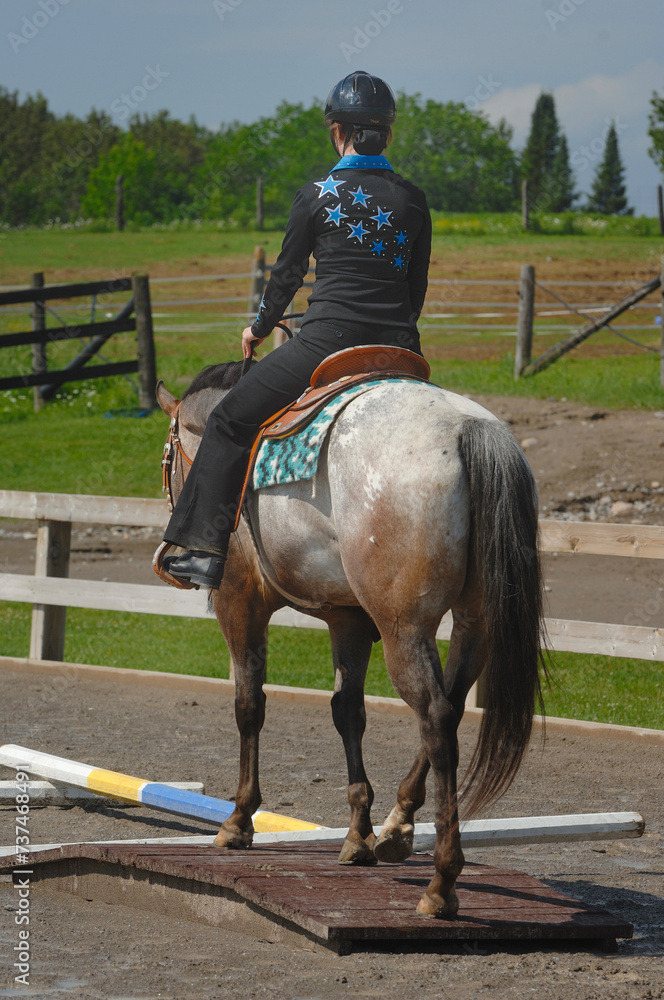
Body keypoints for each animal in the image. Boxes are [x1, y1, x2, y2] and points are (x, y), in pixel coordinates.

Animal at [156, 360, 545, 919]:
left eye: (167, 460)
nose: (172, 552)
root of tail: (465, 429)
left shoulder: (239, 602)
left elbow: (249, 705)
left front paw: (239, 819)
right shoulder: (349, 619)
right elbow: (348, 712)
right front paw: (359, 832)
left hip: (405, 628)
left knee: (435, 716)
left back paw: (441, 882)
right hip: (474, 622)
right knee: (449, 706)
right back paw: (397, 826)